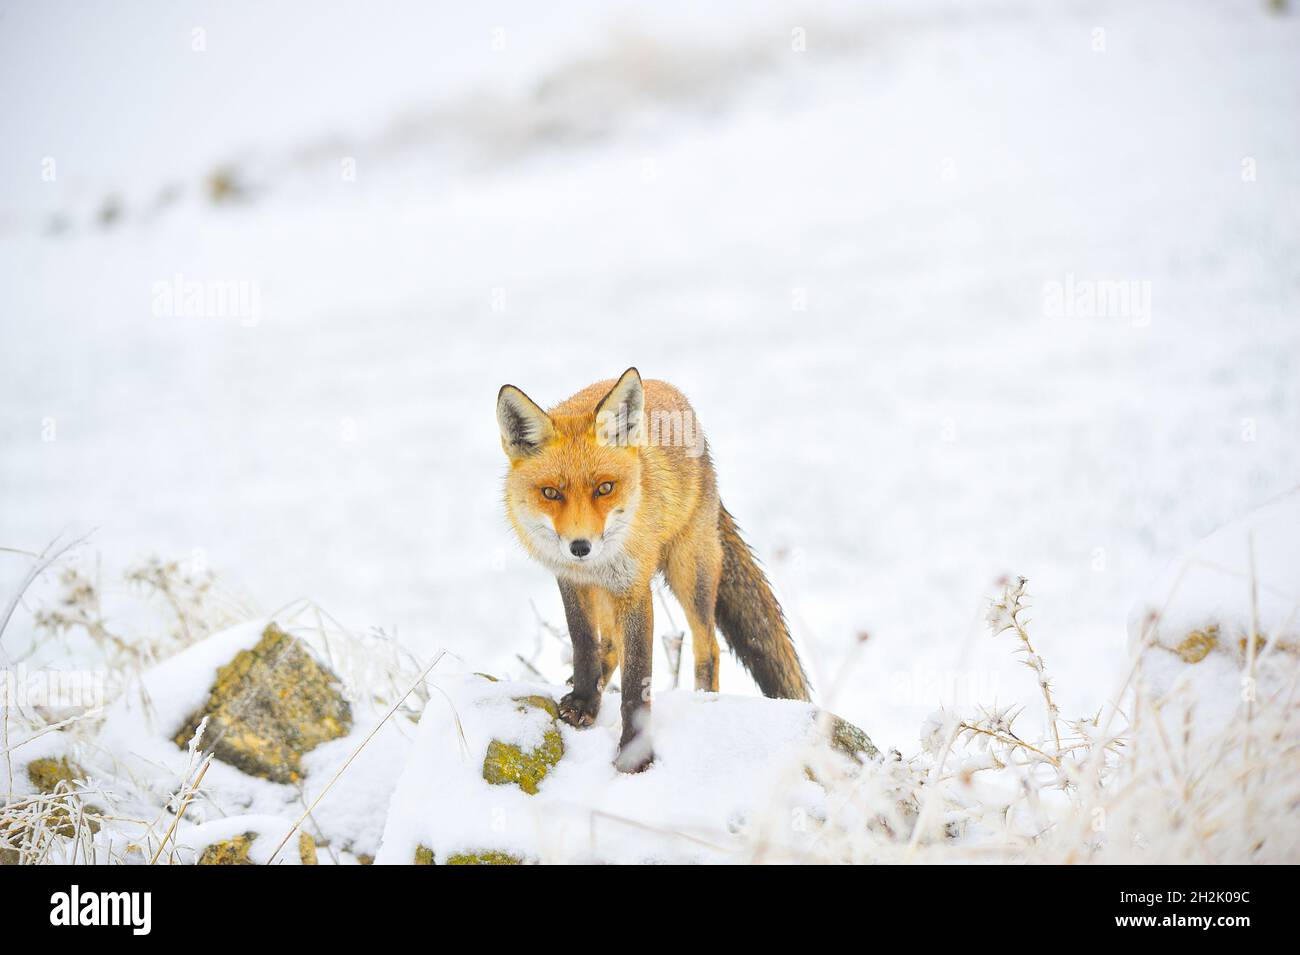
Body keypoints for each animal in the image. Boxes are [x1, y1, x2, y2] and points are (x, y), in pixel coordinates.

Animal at [496, 367, 810, 773]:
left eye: (605, 488)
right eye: (551, 493)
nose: (580, 547)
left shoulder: (634, 588)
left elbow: (636, 682)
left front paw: (635, 755)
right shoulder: (572, 580)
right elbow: (585, 645)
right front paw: (583, 700)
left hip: (689, 573)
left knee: (709, 648)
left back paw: (704, 704)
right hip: (610, 591)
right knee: (610, 646)